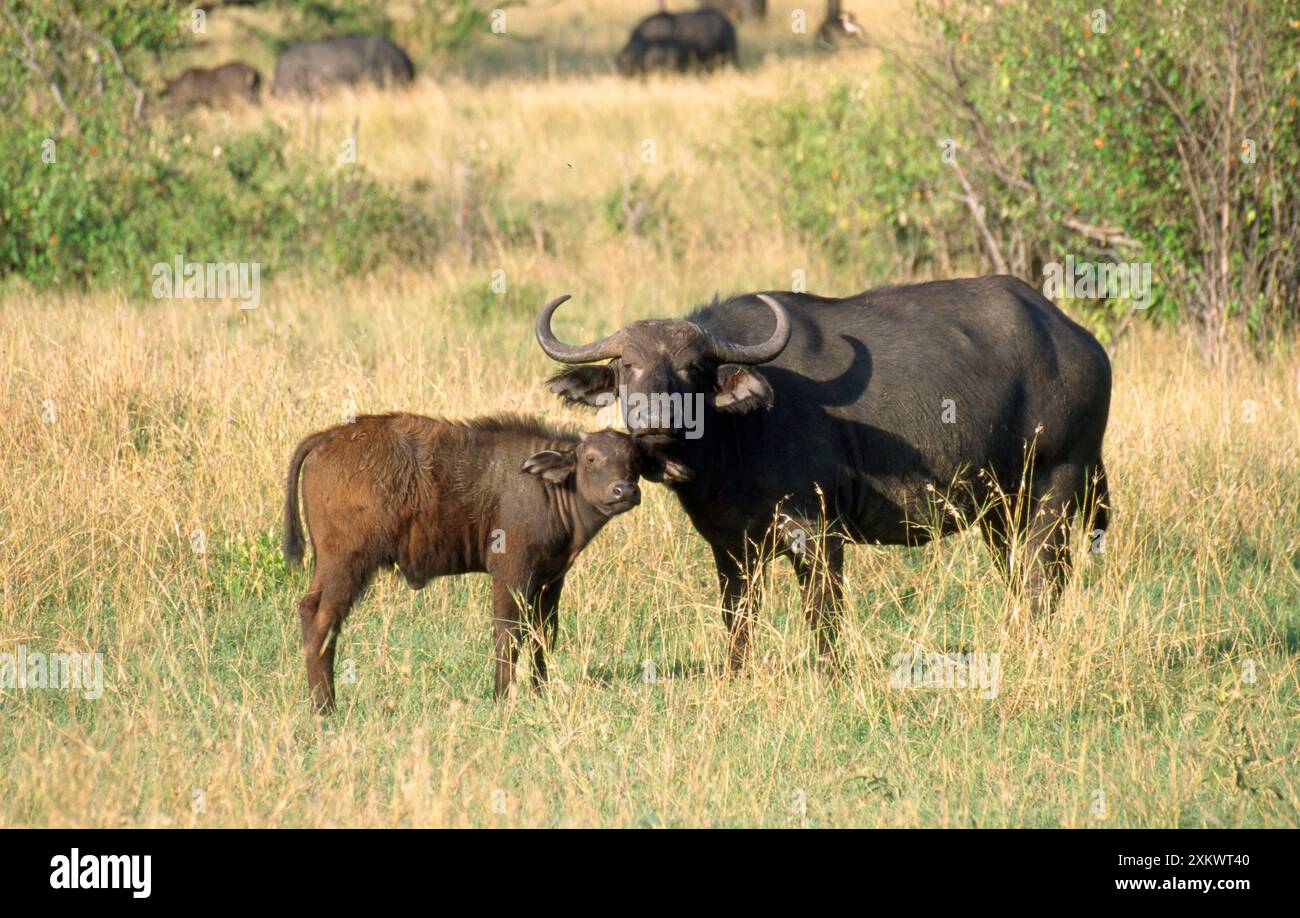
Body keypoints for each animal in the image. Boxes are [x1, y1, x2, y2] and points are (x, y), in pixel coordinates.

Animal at [283, 414, 662, 709]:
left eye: (634, 460)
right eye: (591, 459)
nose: (624, 491)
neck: (549, 488)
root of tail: (326, 438)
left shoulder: (550, 580)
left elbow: (542, 633)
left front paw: (541, 693)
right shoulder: (511, 573)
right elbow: (508, 632)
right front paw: (502, 696)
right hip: (346, 564)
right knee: (322, 618)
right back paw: (325, 706)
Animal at [534, 277, 1112, 670]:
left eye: (692, 367)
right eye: (626, 366)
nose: (656, 419)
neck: (736, 436)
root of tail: (1081, 342)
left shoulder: (815, 530)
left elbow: (823, 612)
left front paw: (829, 674)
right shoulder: (731, 547)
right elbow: (738, 617)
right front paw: (736, 673)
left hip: (1054, 489)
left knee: (1045, 578)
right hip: (999, 510)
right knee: (1019, 577)